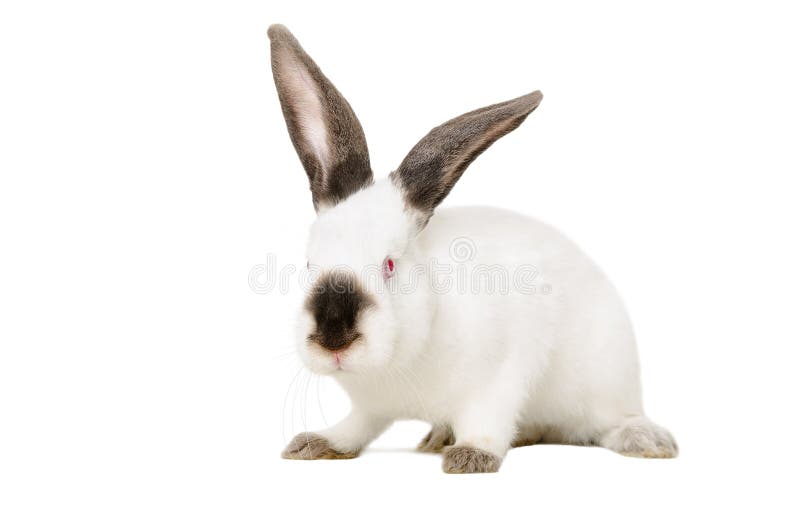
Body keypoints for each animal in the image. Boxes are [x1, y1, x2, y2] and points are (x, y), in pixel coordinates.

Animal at [268, 24, 677, 473]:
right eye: (310, 264)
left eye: (389, 264)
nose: (333, 339)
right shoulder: (370, 408)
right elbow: (358, 427)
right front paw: (315, 444)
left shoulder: (501, 375)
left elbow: (489, 421)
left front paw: (470, 457)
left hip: (606, 380)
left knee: (612, 419)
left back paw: (646, 439)